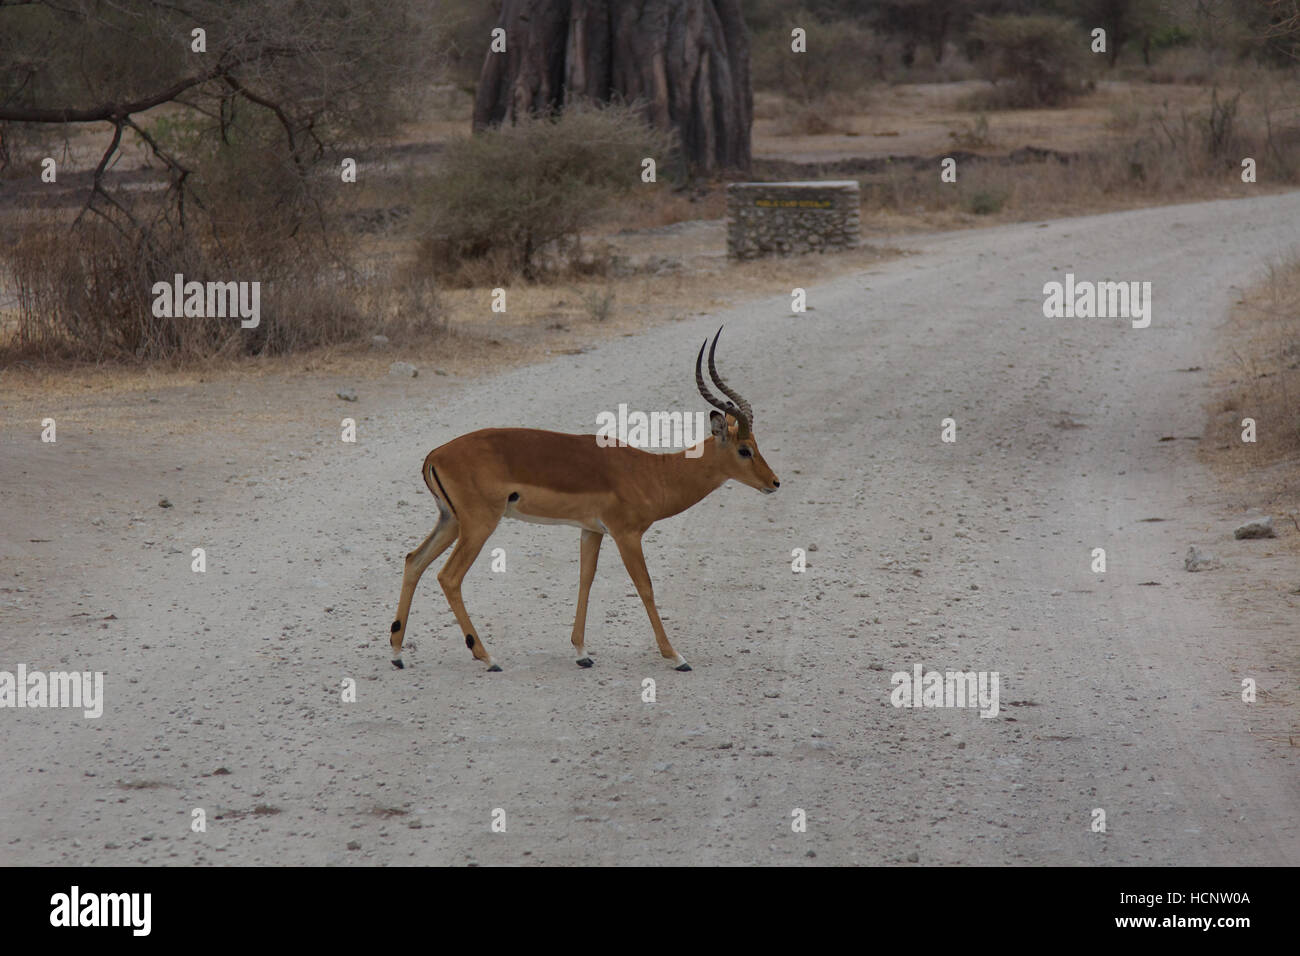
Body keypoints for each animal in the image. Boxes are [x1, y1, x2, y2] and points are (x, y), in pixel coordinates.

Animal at [387, 327, 780, 672]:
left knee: (413, 561)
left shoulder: (592, 531)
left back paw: (397, 654)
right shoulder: (626, 534)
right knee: (448, 576)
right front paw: (677, 656)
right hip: (479, 525)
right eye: (745, 449)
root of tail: (435, 454)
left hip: (451, 521)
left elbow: (585, 580)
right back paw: (488, 658)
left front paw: (582, 653)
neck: (652, 472)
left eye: (756, 445)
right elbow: (646, 587)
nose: (774, 482)